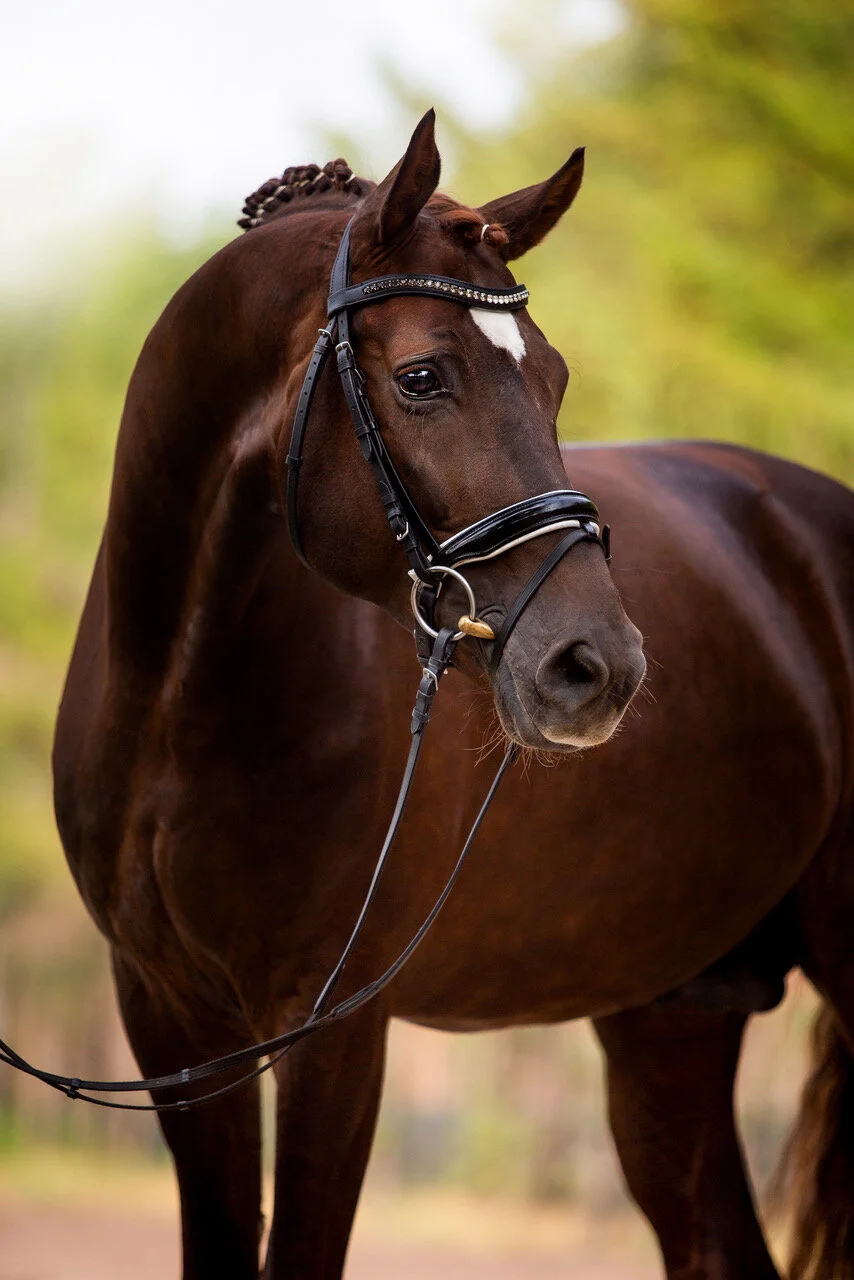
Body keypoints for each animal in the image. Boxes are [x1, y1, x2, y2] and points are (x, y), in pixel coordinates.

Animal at [52, 110, 854, 1279]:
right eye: (425, 376)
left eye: (555, 377)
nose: (596, 666)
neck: (179, 701)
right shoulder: (172, 1024)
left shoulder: (332, 1031)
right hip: (672, 1019)